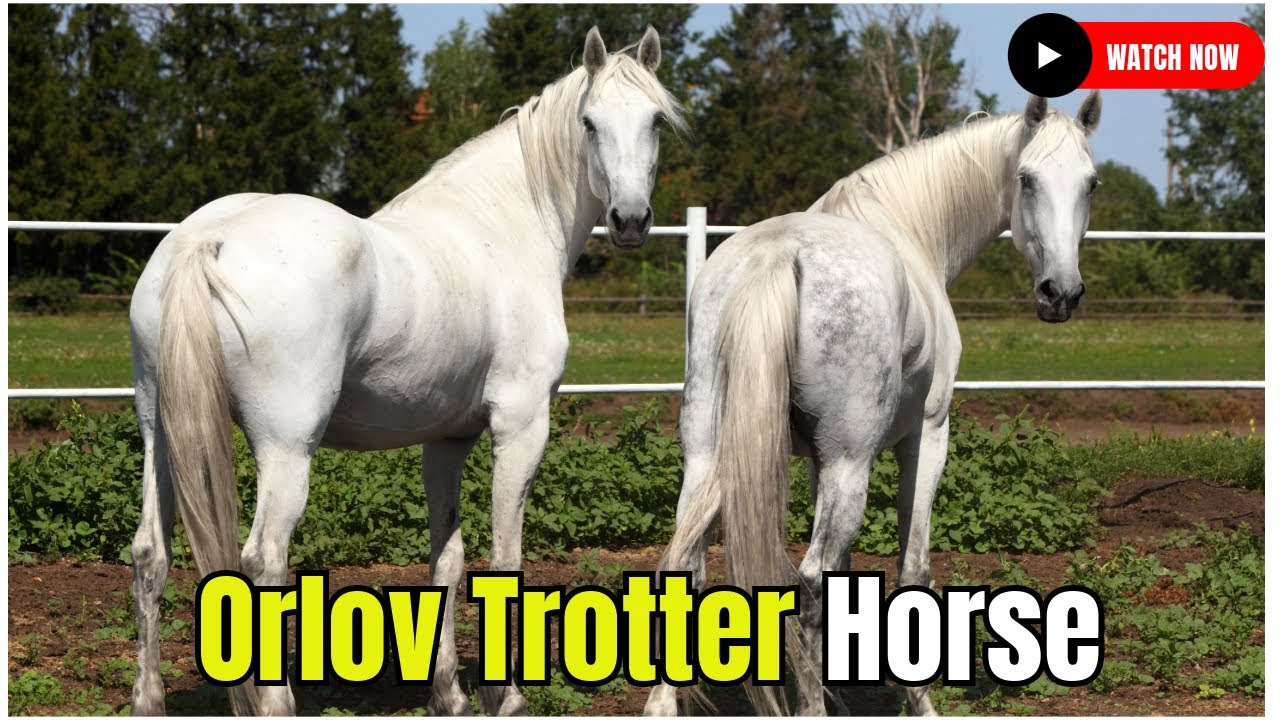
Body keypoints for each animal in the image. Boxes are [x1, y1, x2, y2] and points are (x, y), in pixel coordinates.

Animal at [127, 26, 685, 717]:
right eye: (589, 122)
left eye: (655, 120)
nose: (631, 220)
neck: (501, 229)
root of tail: (206, 242)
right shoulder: (521, 427)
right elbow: (505, 560)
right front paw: (507, 698)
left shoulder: (446, 441)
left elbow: (447, 562)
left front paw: (449, 692)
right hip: (286, 447)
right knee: (262, 562)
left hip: (161, 433)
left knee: (150, 555)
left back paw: (148, 697)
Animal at [645, 92, 1102, 717]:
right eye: (1027, 179)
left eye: (1091, 183)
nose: (1062, 293)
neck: (907, 229)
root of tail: (776, 257)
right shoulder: (924, 439)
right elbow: (911, 569)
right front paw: (918, 701)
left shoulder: (819, 462)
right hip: (849, 464)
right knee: (808, 580)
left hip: (709, 458)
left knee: (688, 567)